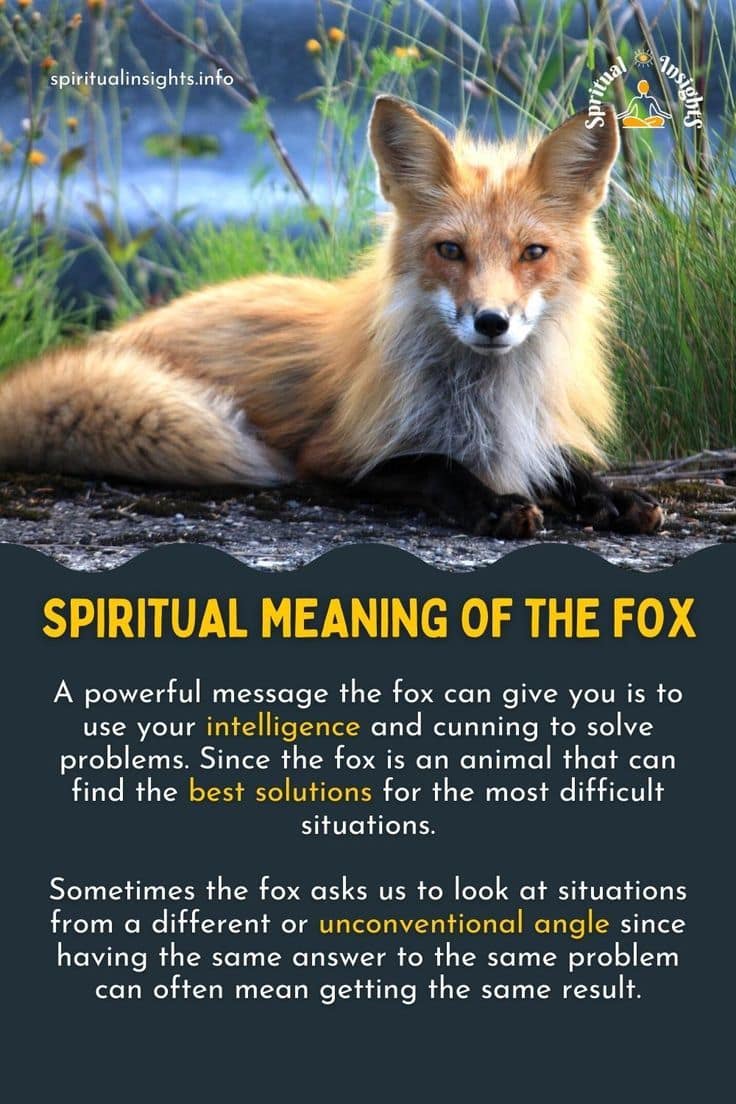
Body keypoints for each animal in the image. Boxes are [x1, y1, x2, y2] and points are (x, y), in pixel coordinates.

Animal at [0, 96, 662, 539]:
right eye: (450, 250)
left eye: (533, 253)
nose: (492, 322)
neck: (485, 400)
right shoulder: (333, 456)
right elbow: (437, 465)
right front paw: (494, 503)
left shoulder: (528, 433)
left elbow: (563, 466)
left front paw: (610, 497)